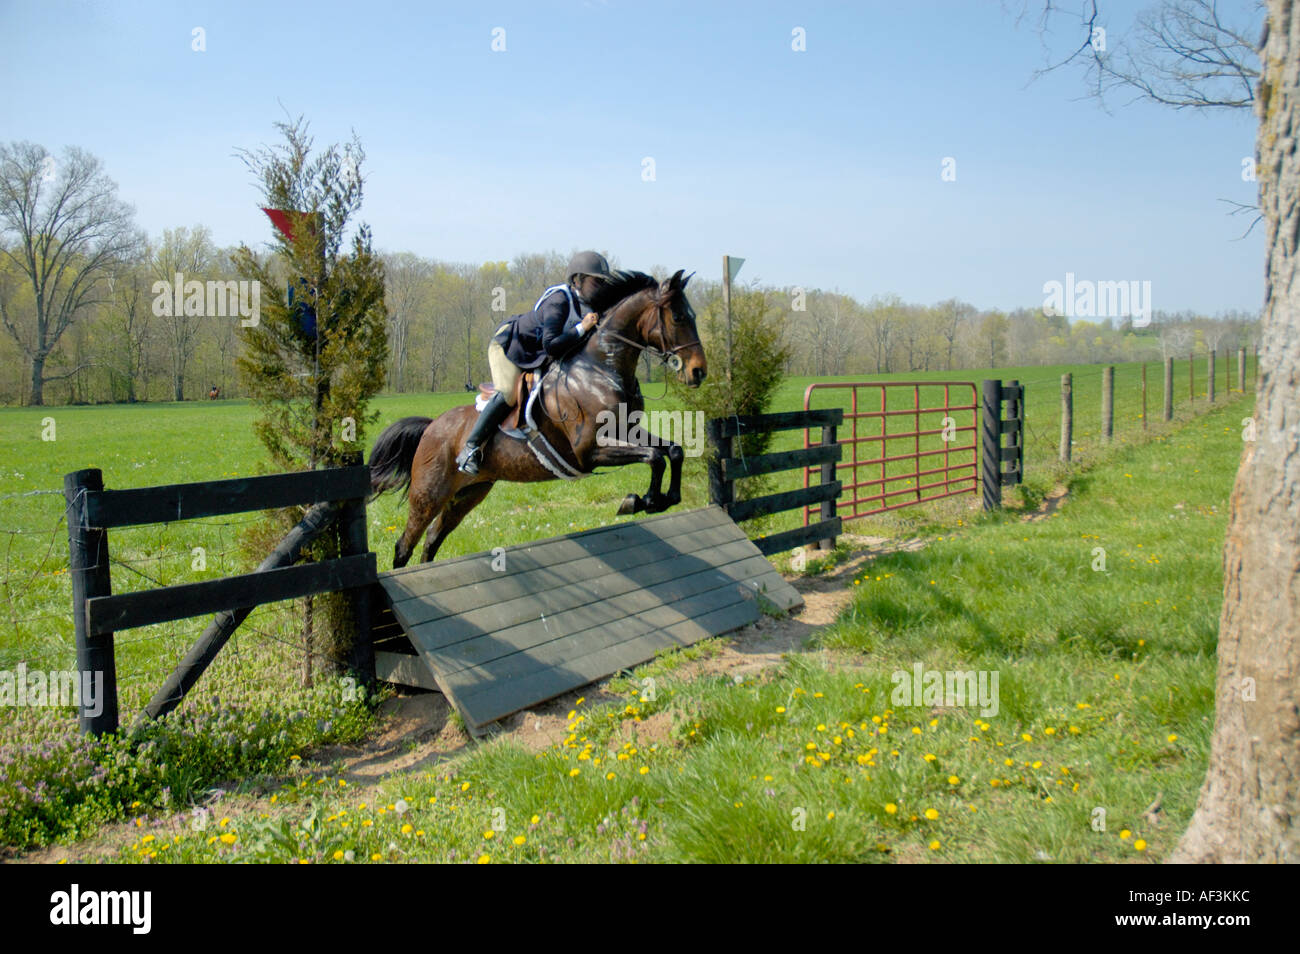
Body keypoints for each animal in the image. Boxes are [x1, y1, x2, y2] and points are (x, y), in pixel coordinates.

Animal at [368, 269, 707, 568]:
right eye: (679, 317)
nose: (698, 372)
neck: (600, 369)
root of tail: (432, 426)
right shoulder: (589, 451)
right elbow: (654, 457)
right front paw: (641, 501)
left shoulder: (627, 432)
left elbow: (672, 451)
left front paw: (663, 498)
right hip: (429, 493)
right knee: (404, 545)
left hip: (468, 493)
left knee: (432, 540)